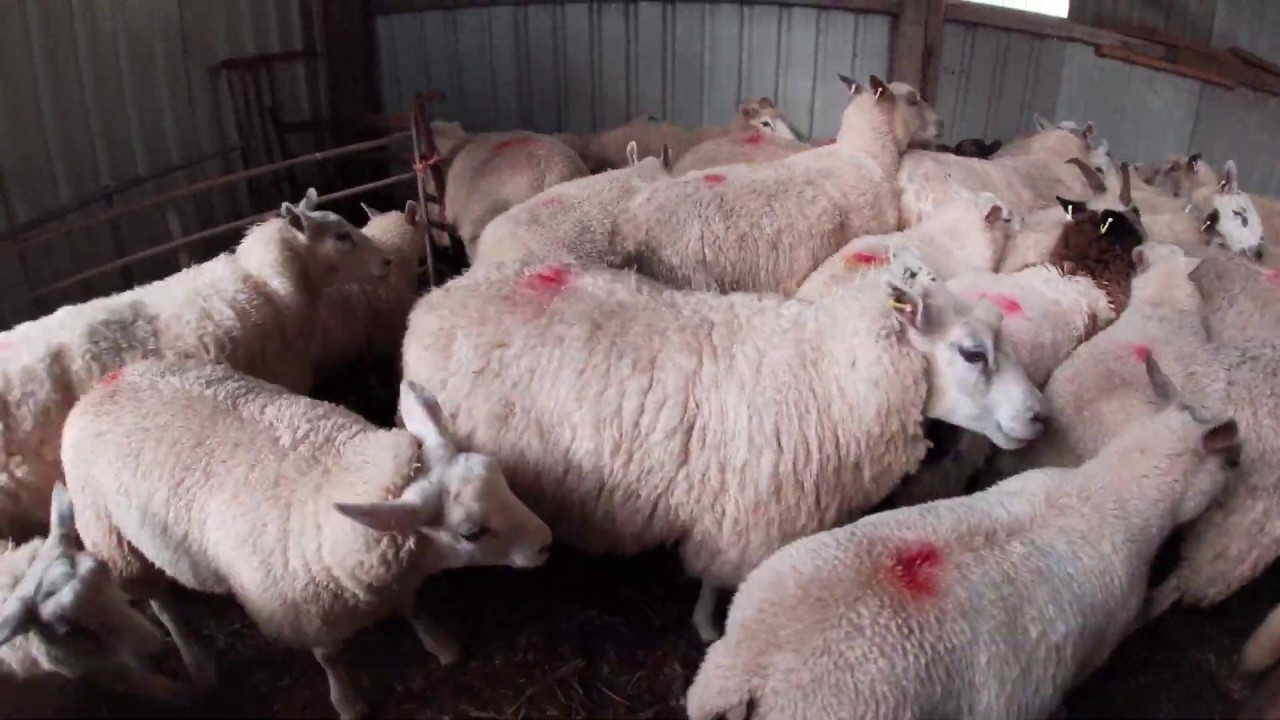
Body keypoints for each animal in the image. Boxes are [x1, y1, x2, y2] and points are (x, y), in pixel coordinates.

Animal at [60, 360, 552, 720]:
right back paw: (195, 660)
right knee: (161, 603)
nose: (546, 543)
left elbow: (412, 607)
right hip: (114, 537)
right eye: (472, 533)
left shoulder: (391, 574)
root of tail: (102, 384)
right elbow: (330, 658)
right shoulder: (302, 610)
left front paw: (440, 644)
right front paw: (347, 702)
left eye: (499, 475)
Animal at [401, 246, 1046, 643]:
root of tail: (436, 296)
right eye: (972, 353)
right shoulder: (743, 515)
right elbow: (717, 579)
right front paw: (710, 627)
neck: (826, 374)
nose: (1041, 415)